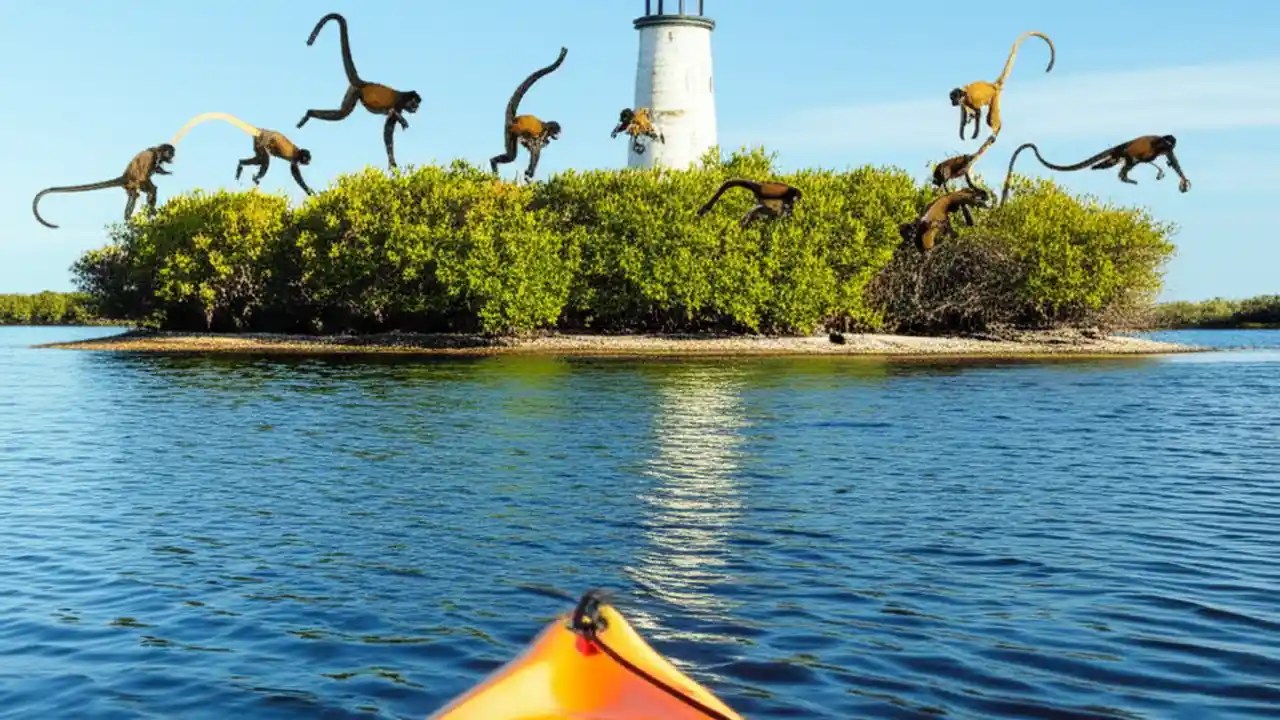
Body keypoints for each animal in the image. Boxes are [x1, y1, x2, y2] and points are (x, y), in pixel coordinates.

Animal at [32, 143, 175, 229]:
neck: (157, 150)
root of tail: (125, 175)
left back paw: (128, 217)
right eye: (171, 152)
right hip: (135, 181)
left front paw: (166, 172)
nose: (173, 157)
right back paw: (150, 210)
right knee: (148, 189)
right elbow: (148, 176)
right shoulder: (152, 158)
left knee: (133, 195)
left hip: (130, 186)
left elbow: (158, 169)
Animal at [170, 113, 314, 195]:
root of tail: (260, 131)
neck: (299, 151)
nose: (309, 162)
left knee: (259, 159)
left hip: (257, 144)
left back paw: (241, 165)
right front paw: (309, 192)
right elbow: (295, 173)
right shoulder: (295, 158)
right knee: (265, 160)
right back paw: (255, 177)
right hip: (262, 142)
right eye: (307, 158)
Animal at [296, 12, 422, 169]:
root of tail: (364, 83)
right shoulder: (399, 104)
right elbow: (389, 124)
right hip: (356, 91)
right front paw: (392, 162)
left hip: (352, 91)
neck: (405, 96)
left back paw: (310, 113)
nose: (416, 108)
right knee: (342, 114)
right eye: (415, 103)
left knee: (341, 113)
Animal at [490, 47, 568, 182]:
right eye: (557, 131)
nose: (559, 135)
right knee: (518, 150)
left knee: (511, 155)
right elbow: (534, 147)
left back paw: (493, 161)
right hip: (511, 129)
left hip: (510, 133)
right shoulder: (543, 133)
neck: (546, 126)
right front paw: (530, 172)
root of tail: (514, 119)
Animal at [1001, 135, 1191, 203]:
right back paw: (1124, 176)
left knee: (1112, 162)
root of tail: (1121, 145)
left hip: (1117, 155)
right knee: (1129, 161)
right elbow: (1157, 159)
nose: (1171, 144)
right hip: (1124, 152)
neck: (1162, 141)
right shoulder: (1160, 145)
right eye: (1171, 142)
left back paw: (1101, 167)